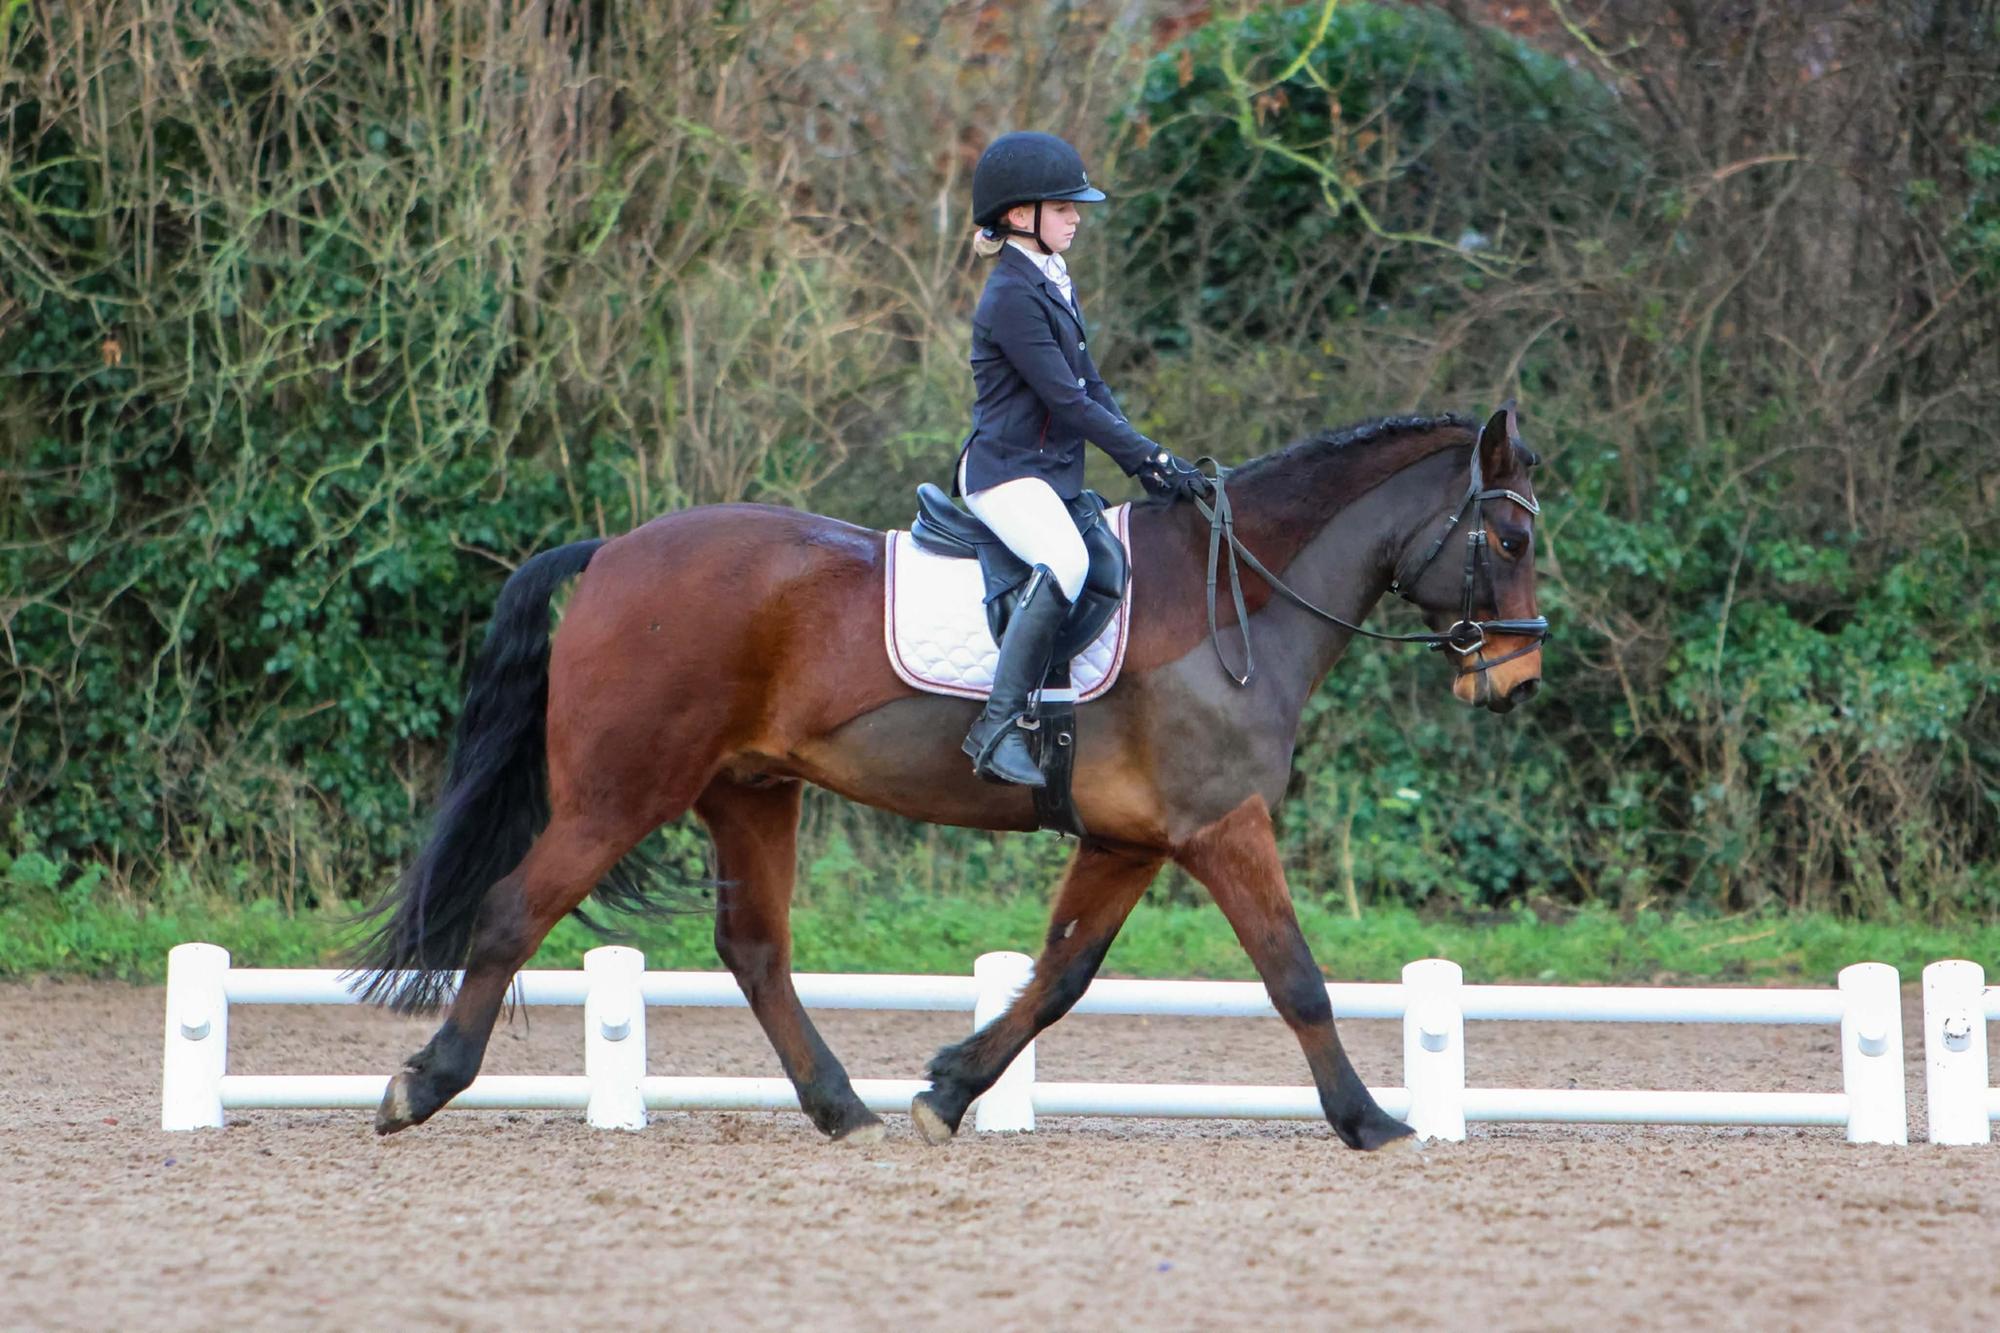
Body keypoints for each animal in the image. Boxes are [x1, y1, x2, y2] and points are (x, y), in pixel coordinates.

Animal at [352, 404, 1547, 1151]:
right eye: (1506, 538)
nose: (1518, 680)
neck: (1235, 600)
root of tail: (609, 551)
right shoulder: (1220, 823)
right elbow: (1294, 976)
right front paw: (1370, 1121)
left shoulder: (1127, 839)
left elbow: (1059, 975)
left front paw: (950, 1089)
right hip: (619, 792)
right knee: (514, 911)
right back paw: (421, 1084)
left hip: (749, 790)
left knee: (755, 949)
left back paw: (842, 1108)